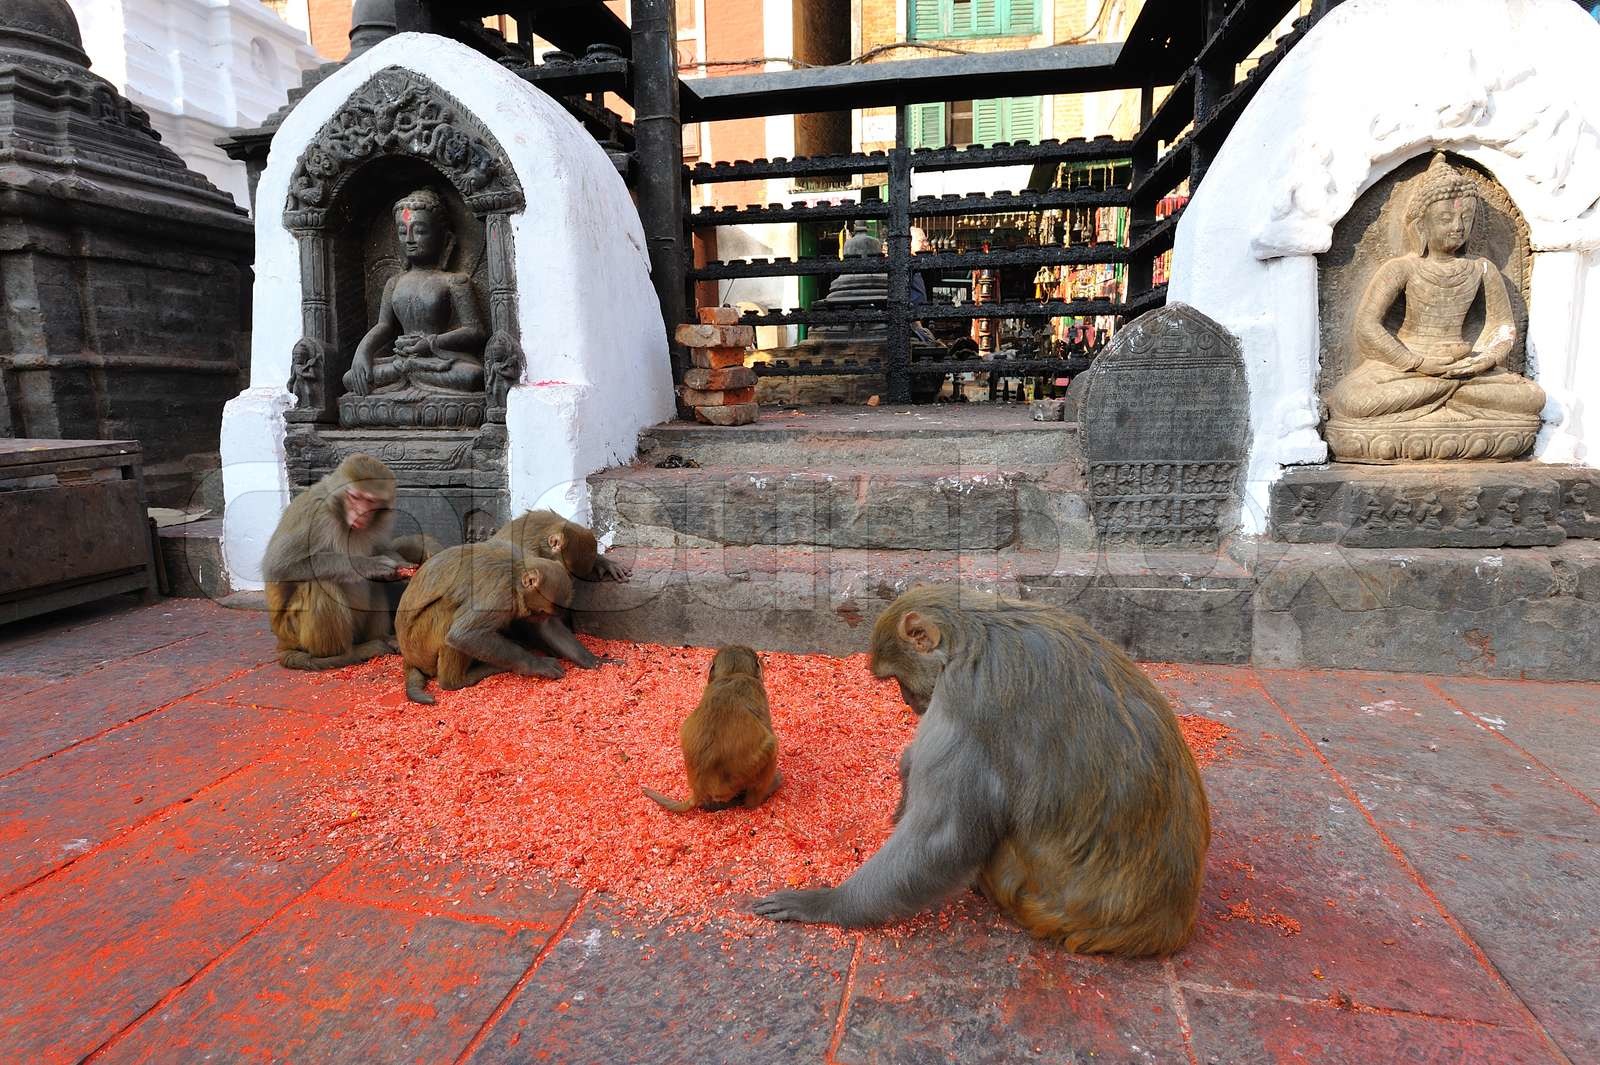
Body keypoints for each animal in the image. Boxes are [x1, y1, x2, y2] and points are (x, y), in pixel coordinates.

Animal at [263, 454, 415, 671]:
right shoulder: (314, 513)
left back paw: (382, 637)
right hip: (292, 629)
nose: (359, 513)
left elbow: (379, 550)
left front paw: (402, 568)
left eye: (369, 501)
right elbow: (279, 567)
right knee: (320, 583)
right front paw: (369, 565)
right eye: (354, 497)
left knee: (373, 584)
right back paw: (346, 654)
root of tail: (282, 643)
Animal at [396, 541, 573, 705]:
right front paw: (535, 663)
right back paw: (458, 680)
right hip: (421, 642)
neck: (516, 573)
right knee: (450, 614)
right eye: (540, 612)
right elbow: (464, 635)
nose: (539, 619)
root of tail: (409, 657)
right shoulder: (501, 595)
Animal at [753, 586, 1211, 957]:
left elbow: (945, 839)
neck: (976, 634)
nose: (908, 701)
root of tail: (1163, 926)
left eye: (896, 676)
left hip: (1027, 889)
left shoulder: (968, 698)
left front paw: (826, 903)